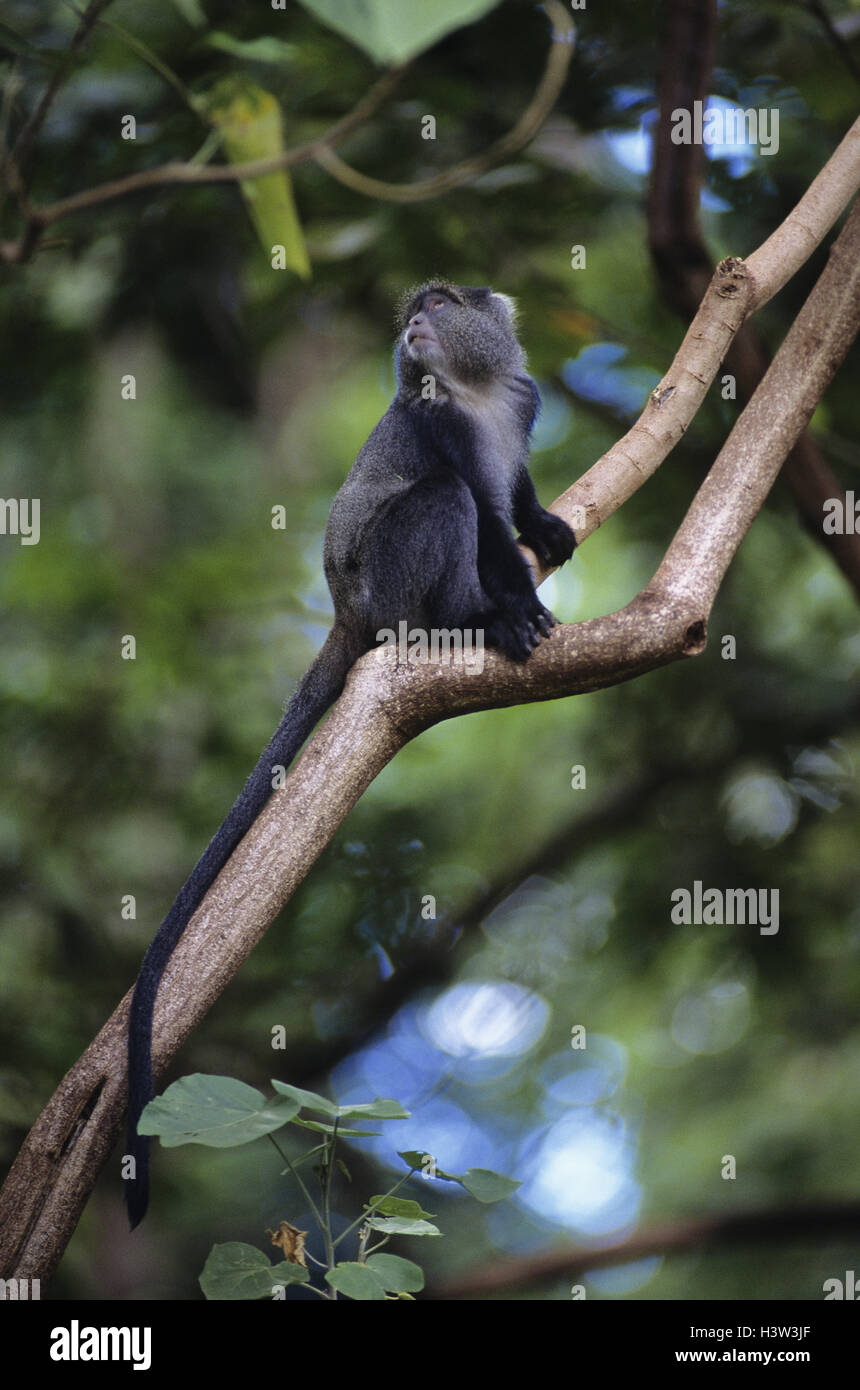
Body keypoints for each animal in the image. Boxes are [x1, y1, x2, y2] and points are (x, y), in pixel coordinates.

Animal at [125, 281, 576, 1227]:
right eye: (414, 308)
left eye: (443, 303)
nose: (416, 324)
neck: (474, 393)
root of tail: (345, 611)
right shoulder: (437, 426)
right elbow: (481, 510)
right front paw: (516, 607)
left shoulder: (521, 402)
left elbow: (512, 497)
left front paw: (546, 523)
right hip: (389, 580)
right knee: (444, 501)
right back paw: (472, 622)